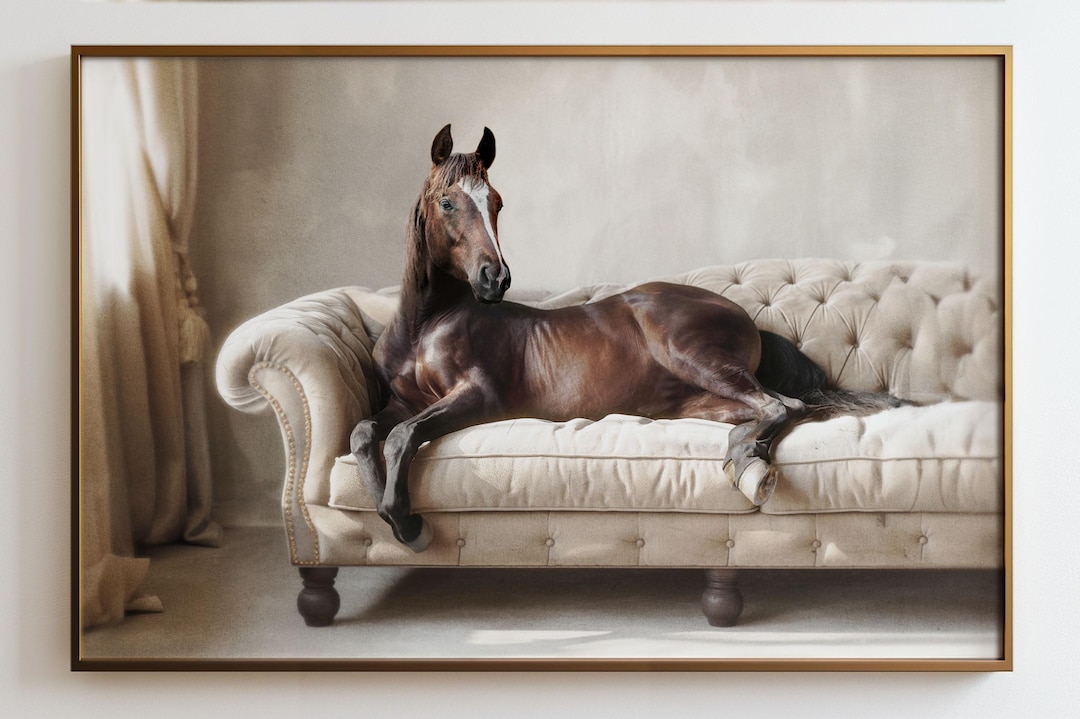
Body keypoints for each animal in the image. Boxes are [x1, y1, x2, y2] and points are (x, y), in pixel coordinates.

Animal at [350, 124, 900, 552]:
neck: (425, 325)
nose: (495, 279)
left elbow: (401, 437)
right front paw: (386, 509)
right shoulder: (404, 401)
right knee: (767, 410)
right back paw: (743, 459)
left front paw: (409, 526)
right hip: (698, 401)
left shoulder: (481, 396)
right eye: (447, 201)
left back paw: (749, 468)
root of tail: (741, 315)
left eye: (497, 203)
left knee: (783, 405)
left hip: (693, 359)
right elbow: (365, 433)